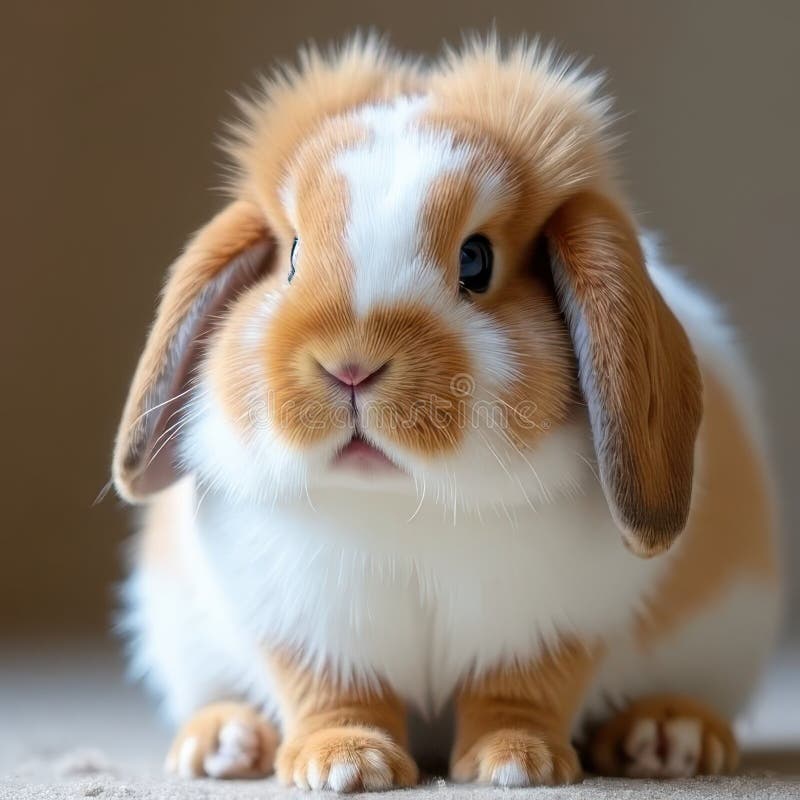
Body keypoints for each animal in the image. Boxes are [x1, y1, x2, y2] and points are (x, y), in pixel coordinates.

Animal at [112, 36, 780, 790]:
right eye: (292, 255)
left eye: (476, 259)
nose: (350, 365)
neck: (407, 508)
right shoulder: (310, 626)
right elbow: (337, 694)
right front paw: (344, 765)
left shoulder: (552, 620)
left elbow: (518, 690)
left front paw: (515, 762)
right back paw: (221, 744)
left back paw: (670, 738)